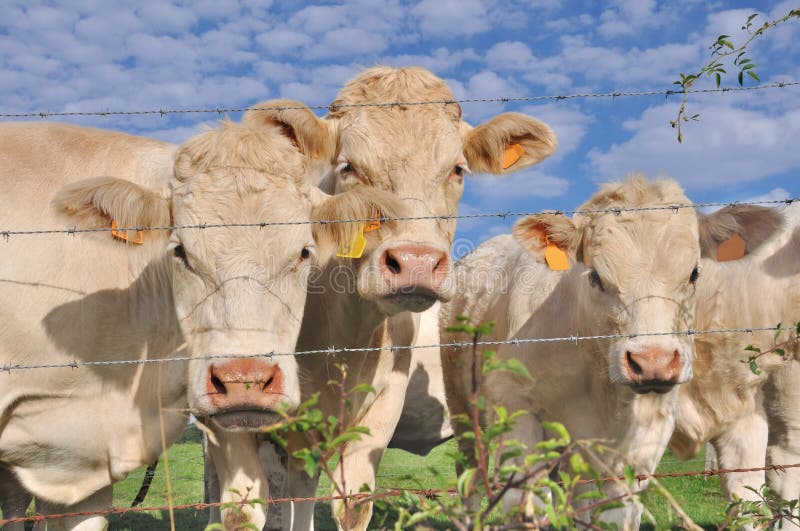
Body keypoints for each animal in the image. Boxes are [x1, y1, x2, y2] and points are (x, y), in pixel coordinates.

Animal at [203, 65, 559, 530]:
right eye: (349, 167)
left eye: (457, 169)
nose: (416, 262)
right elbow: (247, 509)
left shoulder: (383, 404)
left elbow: (353, 503)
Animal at [438, 175, 782, 529]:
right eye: (595, 276)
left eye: (694, 274)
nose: (653, 362)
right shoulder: (511, 399)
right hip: (464, 411)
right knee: (471, 475)